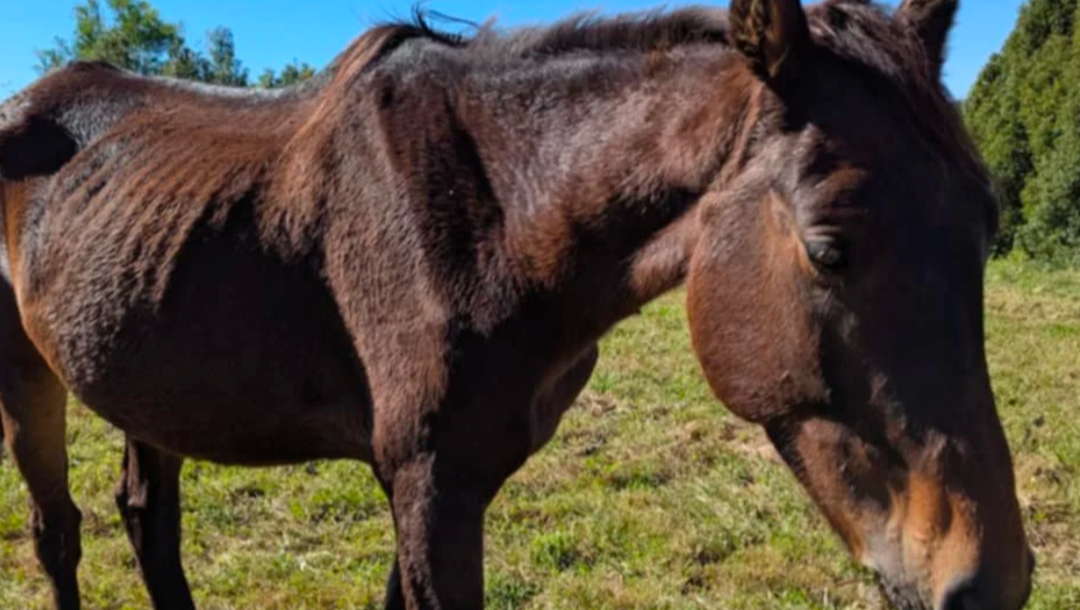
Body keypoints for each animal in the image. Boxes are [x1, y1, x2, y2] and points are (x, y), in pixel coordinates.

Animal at [0, 1, 1034, 609]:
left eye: (986, 224)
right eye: (830, 249)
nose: (987, 582)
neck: (493, 221)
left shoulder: (436, 487)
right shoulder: (427, 485)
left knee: (146, 518)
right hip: (27, 379)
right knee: (60, 535)